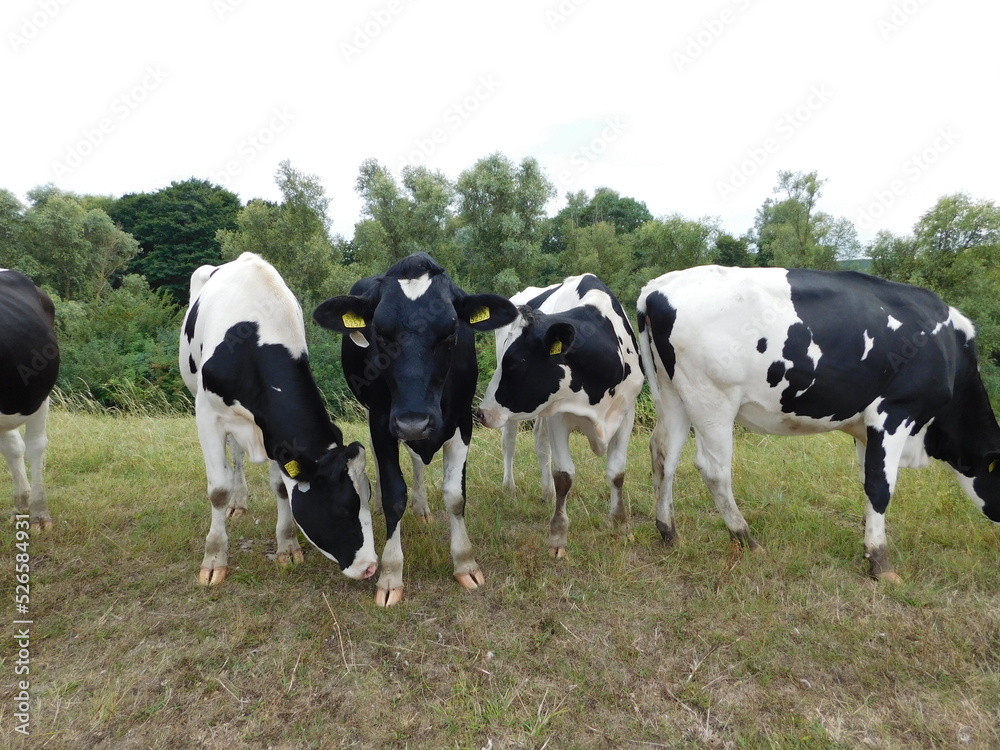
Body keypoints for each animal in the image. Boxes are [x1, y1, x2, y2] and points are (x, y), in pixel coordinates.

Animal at [179, 252, 378, 586]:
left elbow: (282, 487)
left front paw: (287, 546)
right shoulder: (207, 413)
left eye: (369, 496)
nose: (371, 567)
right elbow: (218, 489)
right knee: (234, 458)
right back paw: (236, 503)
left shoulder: (274, 432)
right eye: (342, 508)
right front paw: (214, 559)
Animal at [313, 252, 518, 607]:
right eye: (380, 333)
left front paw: (465, 563)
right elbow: (395, 494)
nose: (414, 421)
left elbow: (455, 495)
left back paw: (422, 508)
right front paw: (390, 575)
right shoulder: (383, 421)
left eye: (451, 332)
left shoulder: (462, 421)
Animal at [477, 274, 645, 557]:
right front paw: (557, 537)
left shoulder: (626, 412)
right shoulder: (558, 416)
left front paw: (621, 525)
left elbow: (617, 472)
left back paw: (547, 492)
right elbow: (564, 475)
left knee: (540, 443)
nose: (481, 412)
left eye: (514, 364)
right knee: (509, 442)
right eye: (503, 362)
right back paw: (509, 487)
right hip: (513, 415)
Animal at [637, 264, 1000, 581]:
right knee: (713, 469)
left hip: (675, 395)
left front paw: (867, 540)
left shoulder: (865, 429)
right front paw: (880, 562)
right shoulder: (894, 413)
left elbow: (867, 481)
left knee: (663, 454)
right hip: (713, 399)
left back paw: (668, 531)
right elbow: (880, 486)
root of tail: (657, 288)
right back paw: (745, 537)